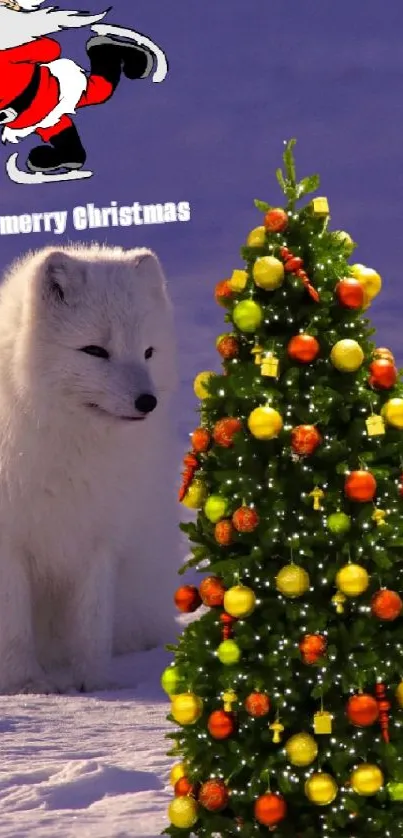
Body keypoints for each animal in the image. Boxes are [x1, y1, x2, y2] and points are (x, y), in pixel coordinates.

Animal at [0, 243, 179, 694]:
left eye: (148, 352)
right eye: (95, 351)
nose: (147, 402)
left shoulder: (99, 536)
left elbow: (92, 624)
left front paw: (94, 685)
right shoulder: (9, 542)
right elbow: (14, 626)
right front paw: (25, 686)